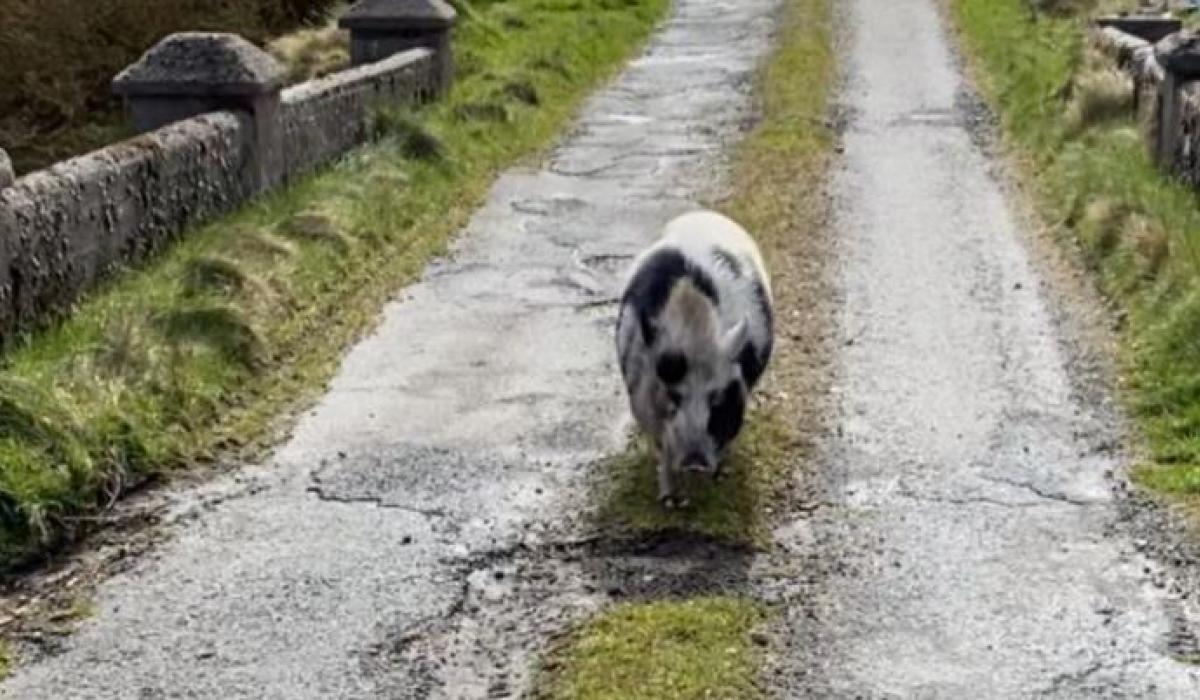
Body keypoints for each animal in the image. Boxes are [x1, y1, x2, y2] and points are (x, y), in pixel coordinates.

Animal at [615, 210, 774, 507]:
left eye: (717, 399)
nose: (694, 463)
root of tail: (704, 214)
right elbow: (663, 451)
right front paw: (669, 501)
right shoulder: (643, 402)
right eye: (674, 395)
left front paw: (716, 478)